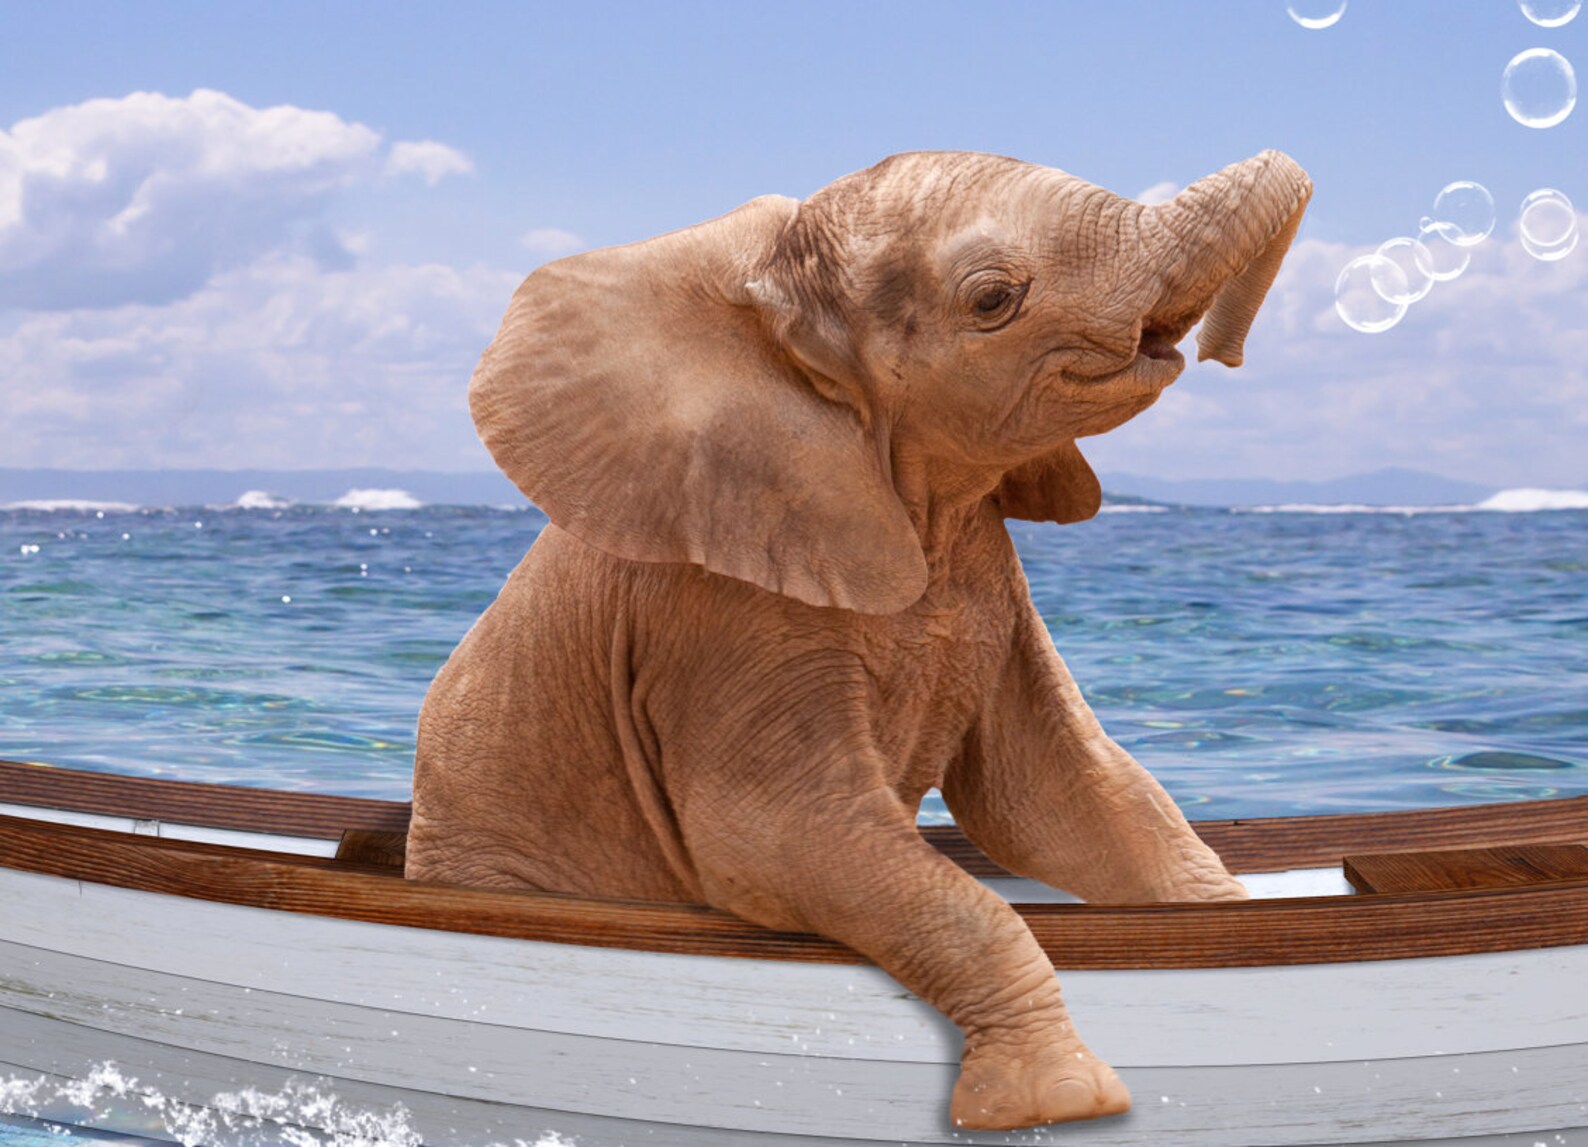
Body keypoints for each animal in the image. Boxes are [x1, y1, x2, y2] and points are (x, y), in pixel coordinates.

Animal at [407, 148, 1312, 1131]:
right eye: (993, 299)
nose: (1226, 348)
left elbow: (1064, 794)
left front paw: (1227, 928)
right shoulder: (722, 603)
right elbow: (777, 838)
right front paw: (1062, 1101)